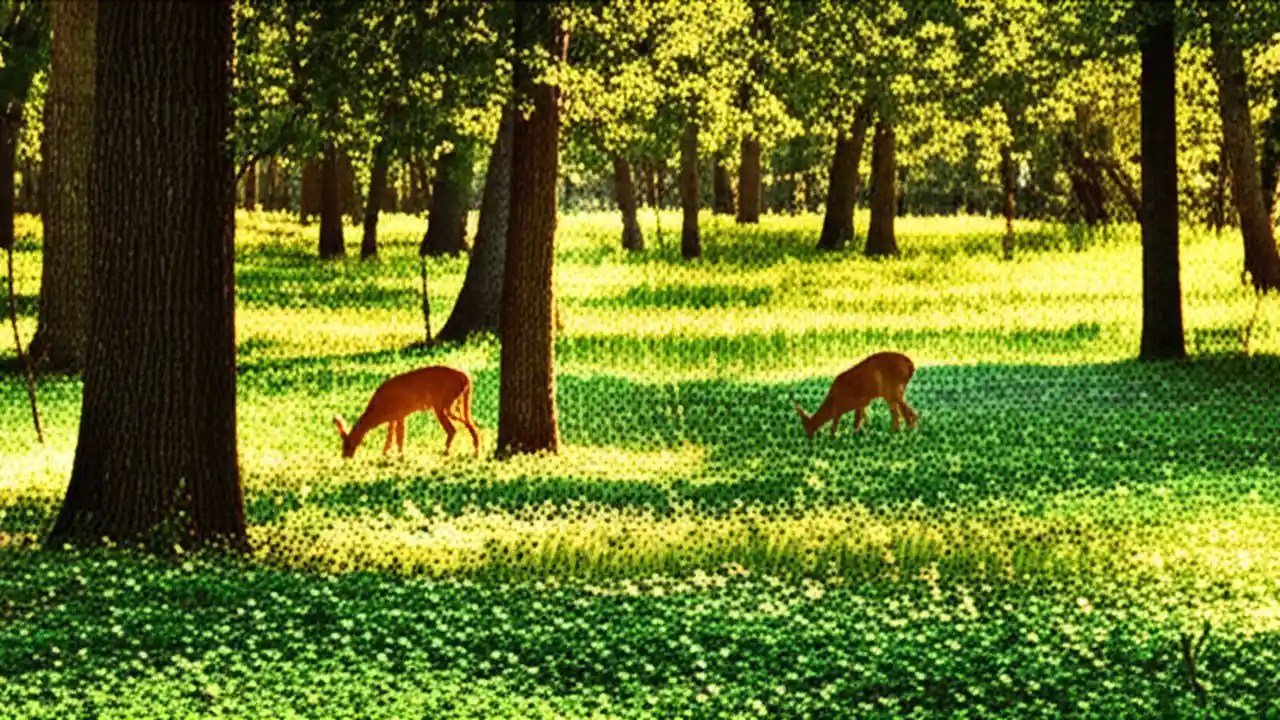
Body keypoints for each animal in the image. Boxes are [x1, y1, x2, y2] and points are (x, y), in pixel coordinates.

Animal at [332, 365, 480, 458]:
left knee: (453, 429)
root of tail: (466, 377)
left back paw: (447, 451)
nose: (345, 457)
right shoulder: (395, 417)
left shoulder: (399, 413)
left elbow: (399, 436)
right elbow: (391, 436)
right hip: (453, 404)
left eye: (347, 444)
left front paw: (399, 455)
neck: (378, 411)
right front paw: (386, 453)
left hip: (443, 405)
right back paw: (476, 450)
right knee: (470, 422)